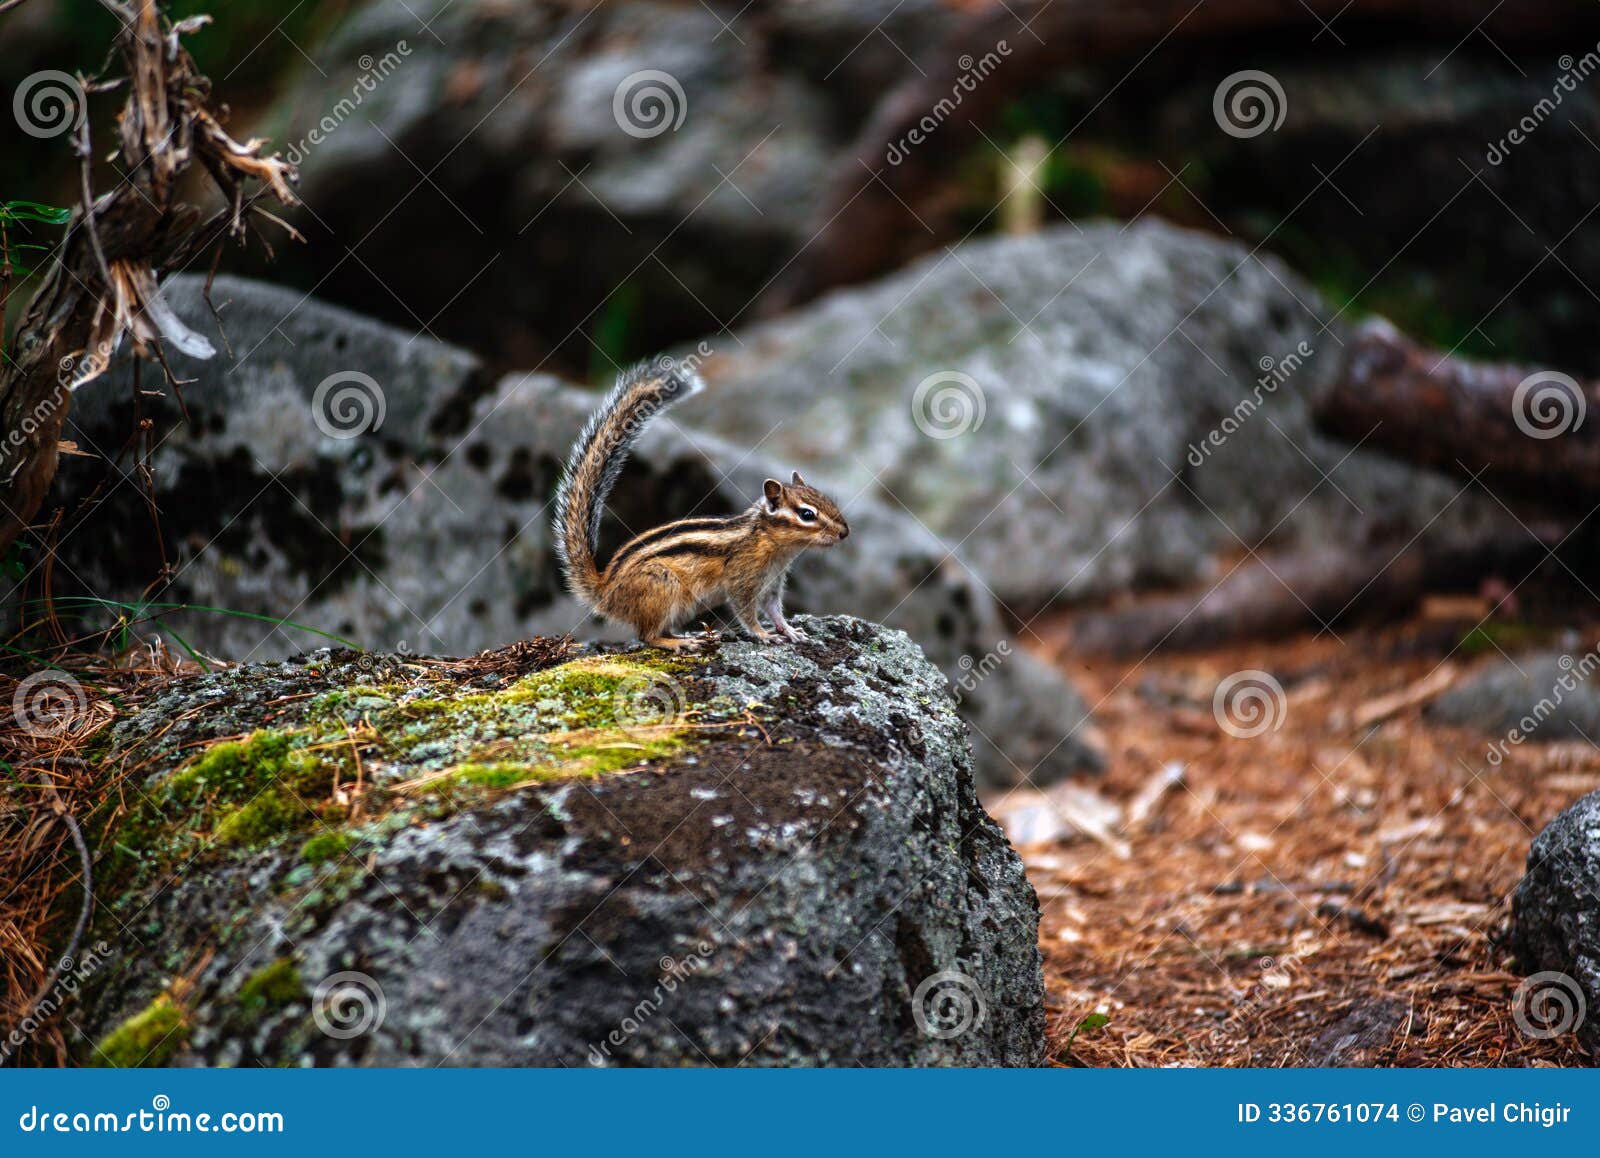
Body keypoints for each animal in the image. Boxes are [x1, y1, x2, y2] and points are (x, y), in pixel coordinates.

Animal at [554, 360, 849, 650]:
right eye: (807, 514)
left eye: (825, 498)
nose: (844, 533)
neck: (770, 542)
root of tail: (604, 590)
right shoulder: (742, 581)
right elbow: (746, 612)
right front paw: (763, 634)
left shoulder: (773, 583)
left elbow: (774, 610)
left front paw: (789, 631)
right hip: (662, 586)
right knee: (646, 635)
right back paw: (677, 643)